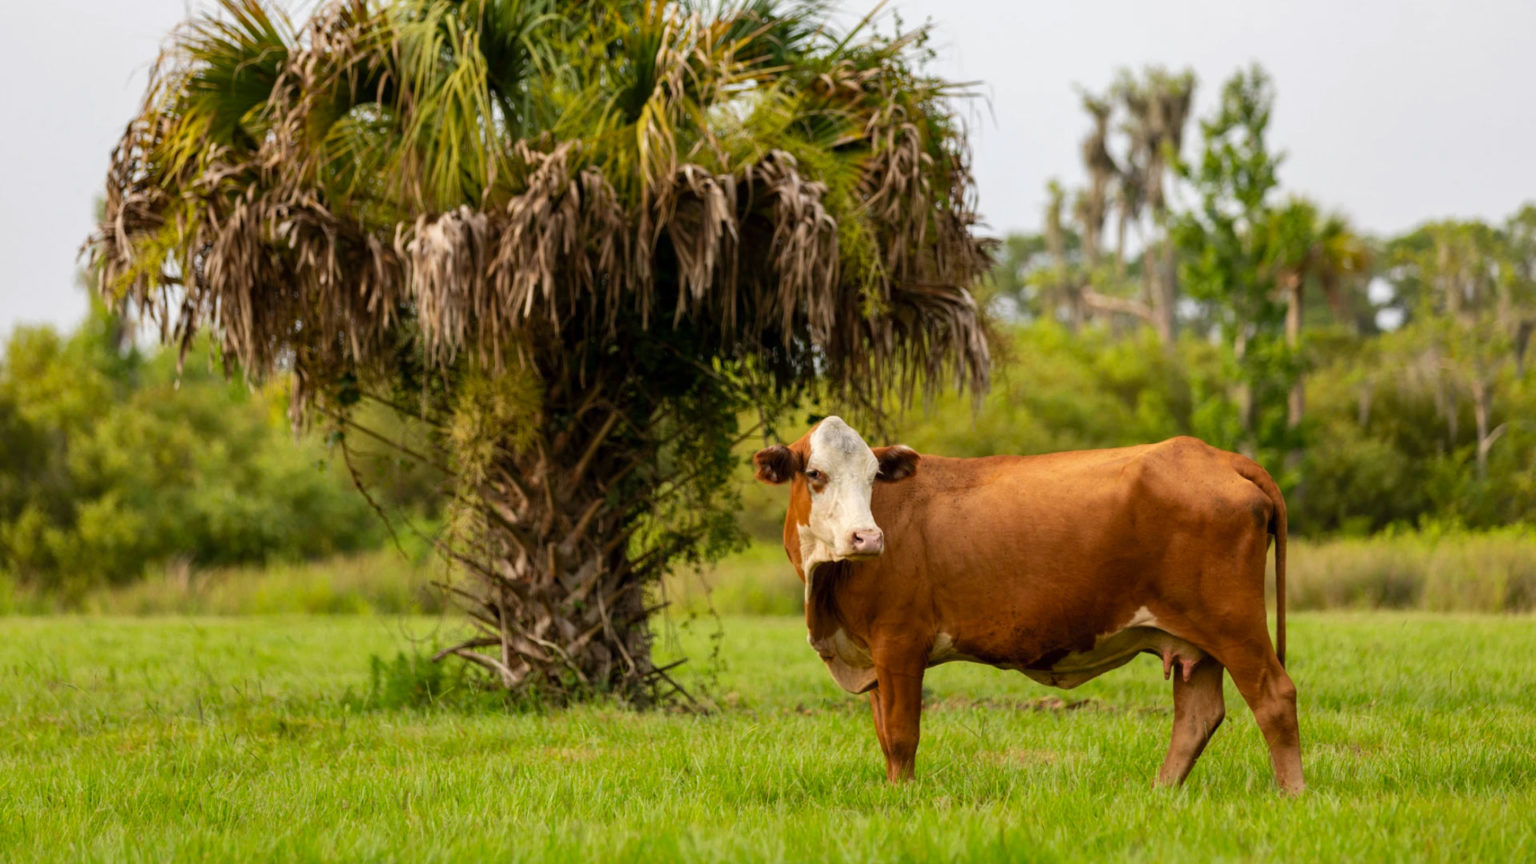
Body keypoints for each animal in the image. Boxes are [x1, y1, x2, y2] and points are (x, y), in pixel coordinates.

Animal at [753, 416, 1303, 793]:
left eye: (872, 476)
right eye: (815, 473)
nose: (867, 537)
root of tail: (1217, 456)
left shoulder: (900, 643)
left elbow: (903, 734)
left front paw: (903, 799)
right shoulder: (870, 650)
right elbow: (885, 734)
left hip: (1234, 624)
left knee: (1274, 698)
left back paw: (1291, 795)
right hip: (1195, 640)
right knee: (1196, 718)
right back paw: (1160, 792)